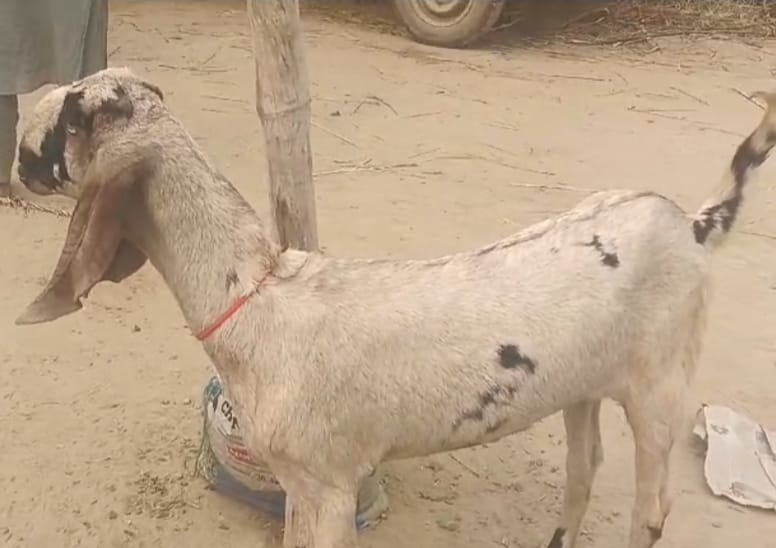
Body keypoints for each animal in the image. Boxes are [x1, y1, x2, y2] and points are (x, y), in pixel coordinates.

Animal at [13, 67, 776, 548]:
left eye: (66, 120)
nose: (17, 155)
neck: (260, 295)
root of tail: (693, 223)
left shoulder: (327, 485)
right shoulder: (301, 485)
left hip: (660, 388)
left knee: (650, 511)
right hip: (583, 387)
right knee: (583, 472)